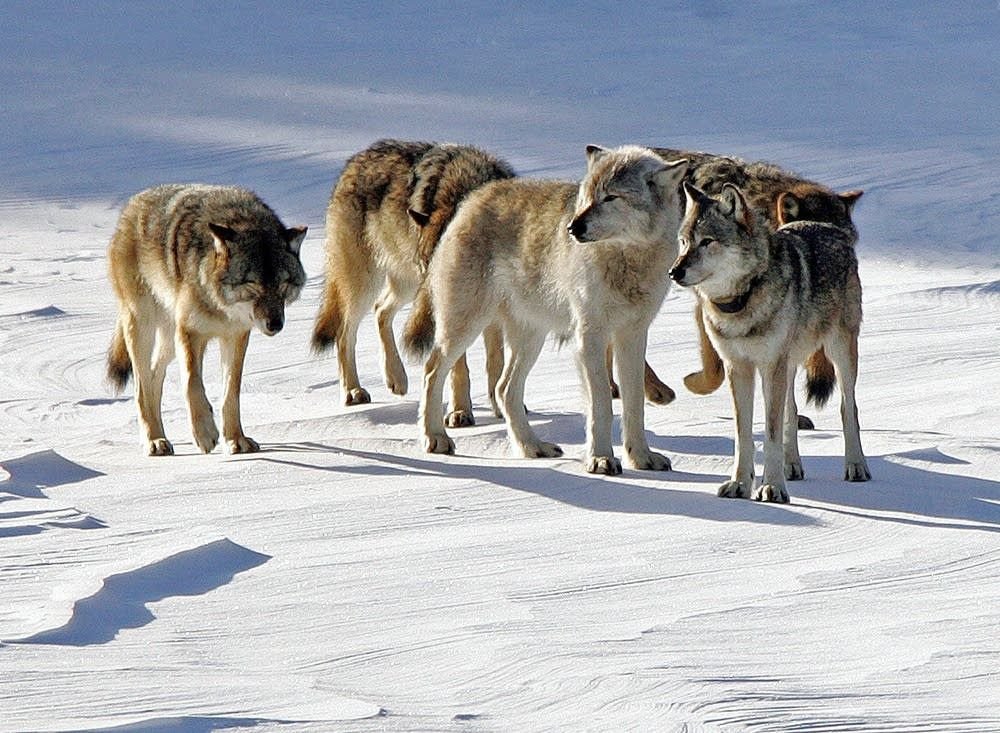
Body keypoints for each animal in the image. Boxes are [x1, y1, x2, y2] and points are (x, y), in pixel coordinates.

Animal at [106, 183, 306, 454]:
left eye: (283, 285)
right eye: (252, 283)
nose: (275, 324)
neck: (221, 306)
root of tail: (133, 204)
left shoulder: (236, 335)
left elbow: (231, 392)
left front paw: (235, 439)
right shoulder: (190, 332)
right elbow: (192, 383)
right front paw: (205, 433)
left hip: (168, 340)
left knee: (155, 376)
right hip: (143, 327)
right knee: (141, 387)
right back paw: (154, 441)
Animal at [310, 139, 516, 424]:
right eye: (430, 266)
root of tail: (353, 162)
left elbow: (495, 361)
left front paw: (501, 408)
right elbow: (459, 367)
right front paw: (460, 411)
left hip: (405, 285)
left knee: (381, 310)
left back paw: (396, 378)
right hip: (367, 283)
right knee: (344, 332)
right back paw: (353, 390)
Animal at [672, 183, 868, 504]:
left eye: (707, 242)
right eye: (684, 242)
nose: (674, 272)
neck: (741, 301)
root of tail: (828, 226)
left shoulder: (770, 366)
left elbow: (771, 433)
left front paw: (772, 488)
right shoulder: (738, 368)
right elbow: (744, 435)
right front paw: (740, 484)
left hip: (839, 353)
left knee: (847, 408)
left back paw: (856, 467)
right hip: (787, 366)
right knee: (792, 409)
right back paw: (792, 466)